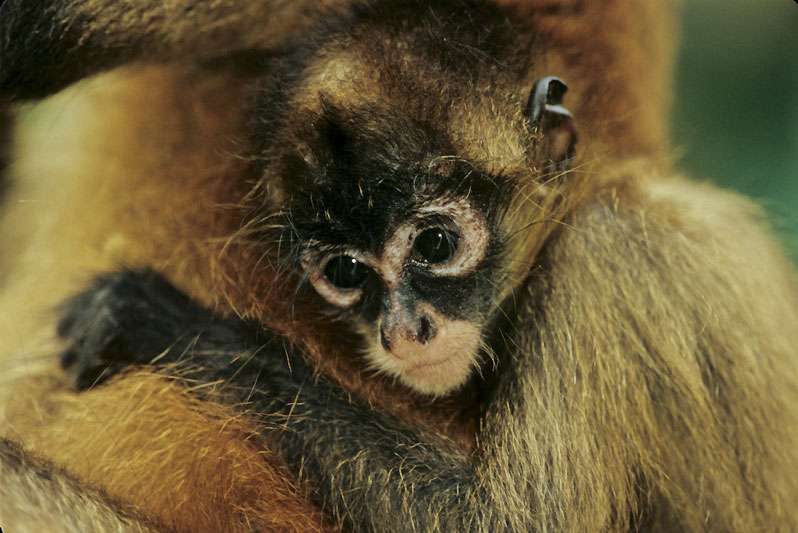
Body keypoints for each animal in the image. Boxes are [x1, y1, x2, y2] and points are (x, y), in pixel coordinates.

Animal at [4, 1, 794, 532]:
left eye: (436, 246)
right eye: (347, 272)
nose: (404, 330)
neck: (605, 187)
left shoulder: (610, 255)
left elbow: (502, 520)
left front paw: (174, 328)